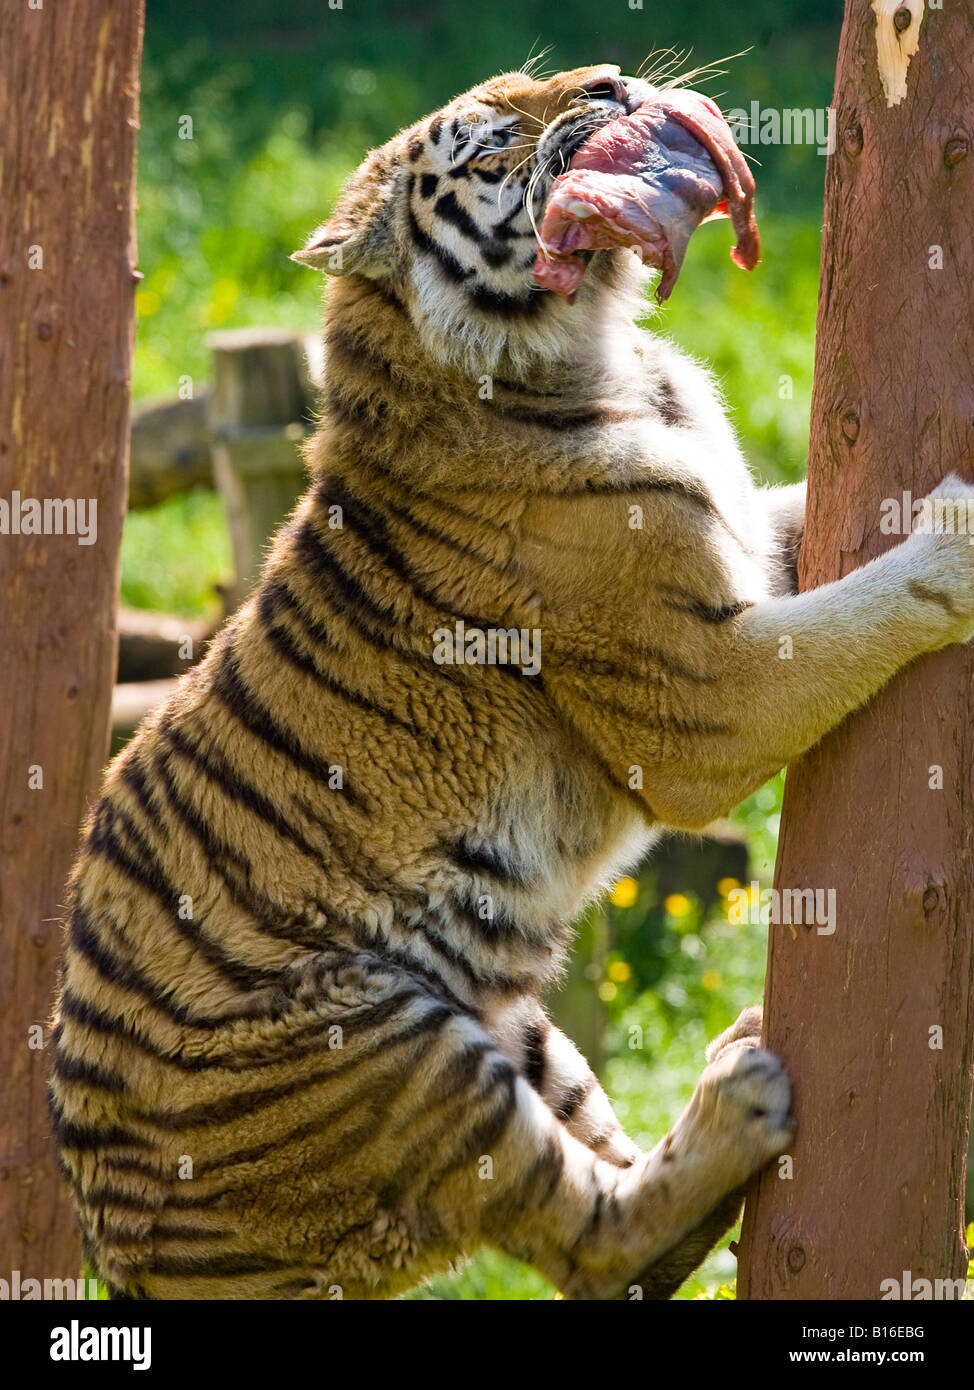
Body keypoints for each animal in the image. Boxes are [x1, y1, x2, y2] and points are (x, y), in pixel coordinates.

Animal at [50, 61, 974, 1302]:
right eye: (491, 148)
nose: (614, 81)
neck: (597, 357)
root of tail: (127, 1254)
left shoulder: (744, 540)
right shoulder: (701, 698)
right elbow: (860, 613)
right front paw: (953, 546)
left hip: (517, 1024)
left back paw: (724, 1070)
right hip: (386, 1042)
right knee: (589, 1240)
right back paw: (738, 1099)